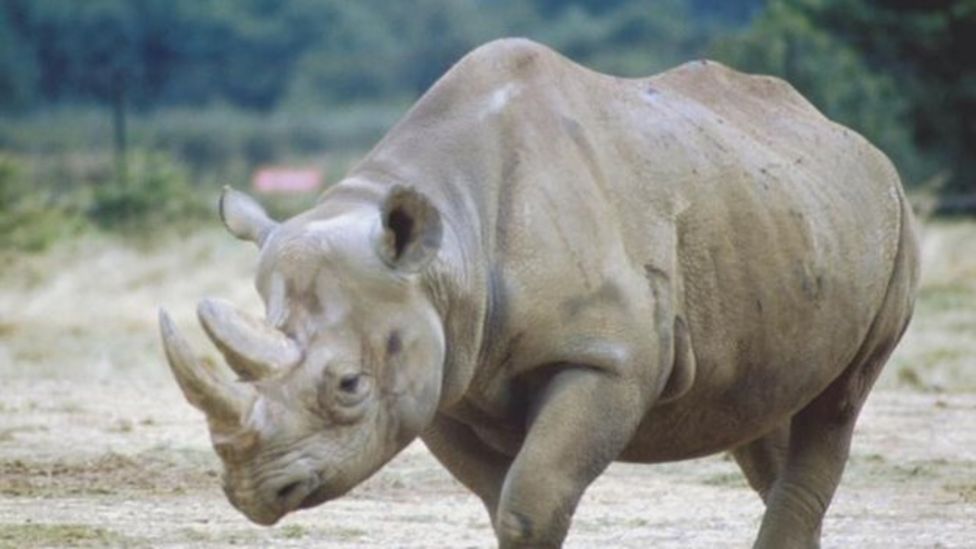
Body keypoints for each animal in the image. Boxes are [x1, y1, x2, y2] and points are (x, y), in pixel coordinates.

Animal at [159, 39, 919, 548]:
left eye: (349, 385)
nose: (255, 492)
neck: (449, 248)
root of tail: (850, 138)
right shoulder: (441, 377)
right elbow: (502, 499)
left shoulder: (607, 358)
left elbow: (531, 500)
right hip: (778, 212)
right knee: (765, 404)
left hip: (894, 215)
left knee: (838, 402)